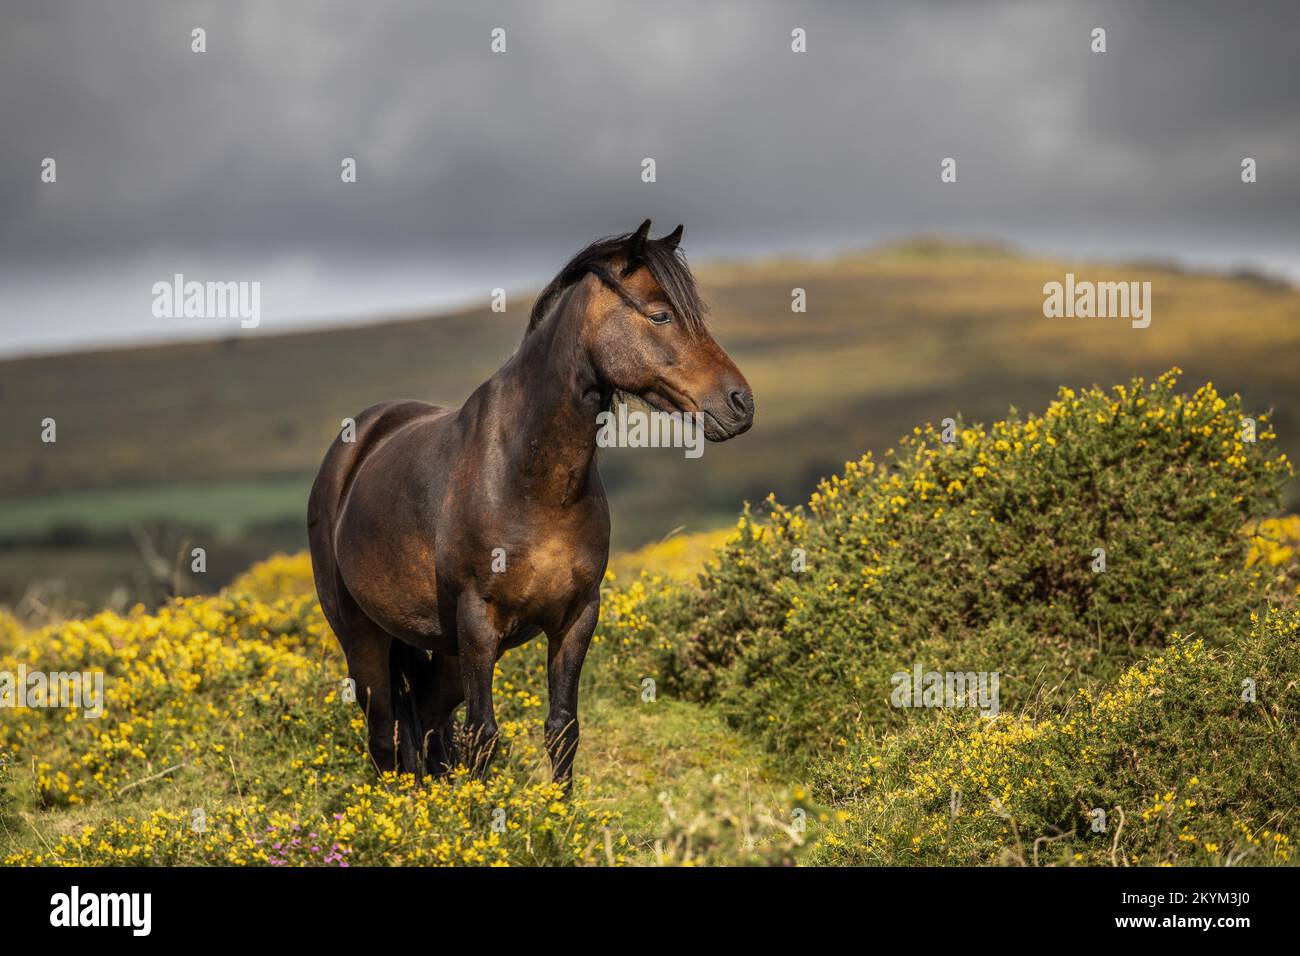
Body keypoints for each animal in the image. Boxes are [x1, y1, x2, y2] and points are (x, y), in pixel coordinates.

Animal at [307, 219, 754, 788]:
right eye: (660, 314)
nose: (741, 404)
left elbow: (562, 730)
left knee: (425, 725)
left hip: (443, 651)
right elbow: (483, 735)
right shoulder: (479, 621)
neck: (530, 479)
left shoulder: (577, 617)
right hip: (364, 640)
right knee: (385, 738)